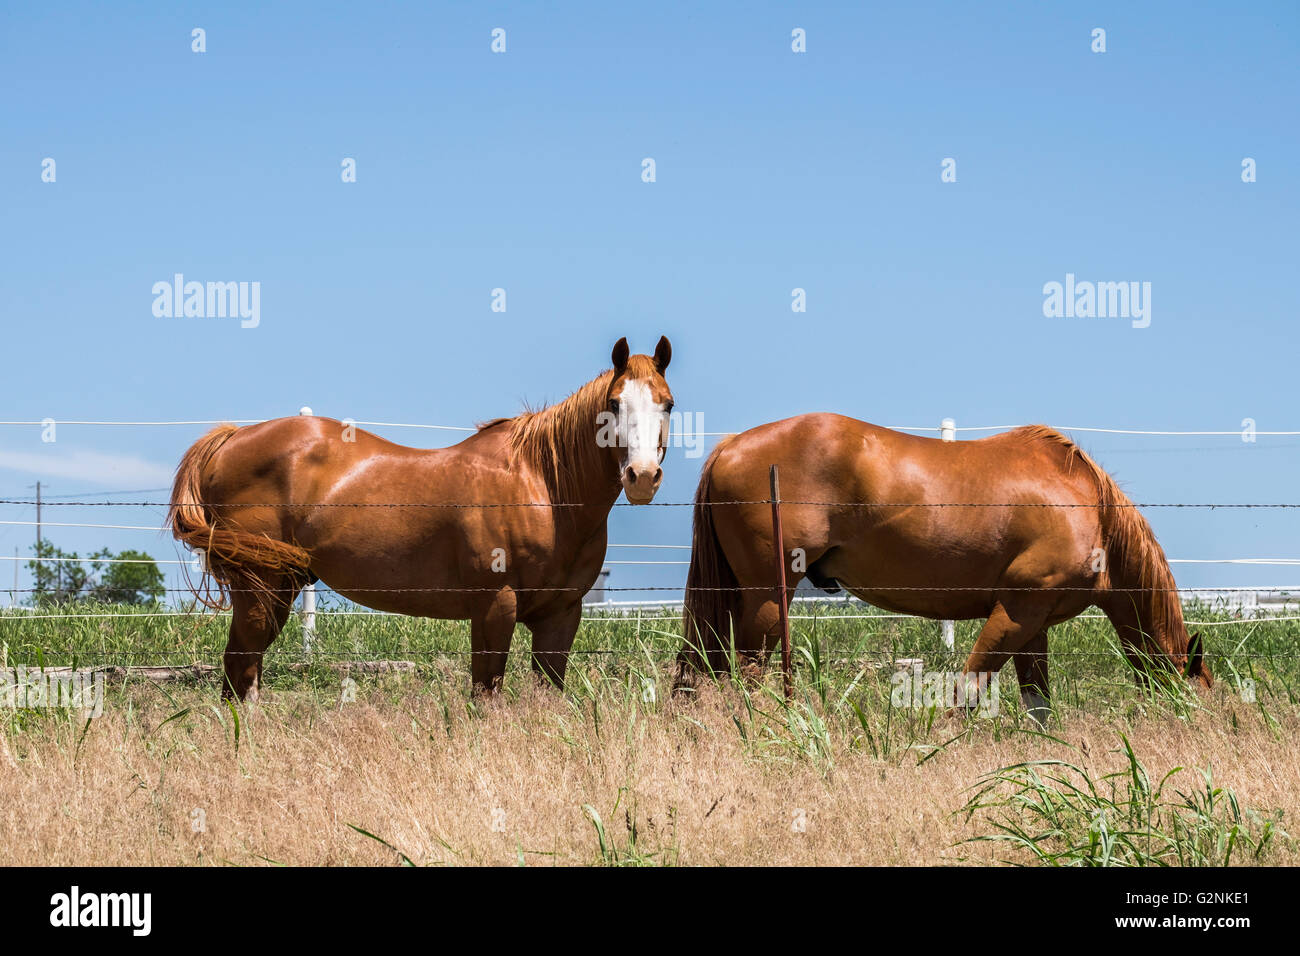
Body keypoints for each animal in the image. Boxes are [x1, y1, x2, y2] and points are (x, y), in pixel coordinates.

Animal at [169, 336, 674, 701]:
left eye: (666, 403)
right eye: (614, 403)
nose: (642, 476)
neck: (542, 487)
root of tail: (231, 438)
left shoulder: (560, 616)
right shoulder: (494, 607)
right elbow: (485, 696)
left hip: (280, 588)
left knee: (244, 673)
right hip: (259, 589)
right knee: (239, 671)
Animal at [677, 414, 1210, 719]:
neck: (1087, 506)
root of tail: (730, 445)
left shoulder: (1033, 625)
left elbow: (1038, 706)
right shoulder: (1014, 614)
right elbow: (966, 690)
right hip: (769, 597)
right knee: (748, 671)